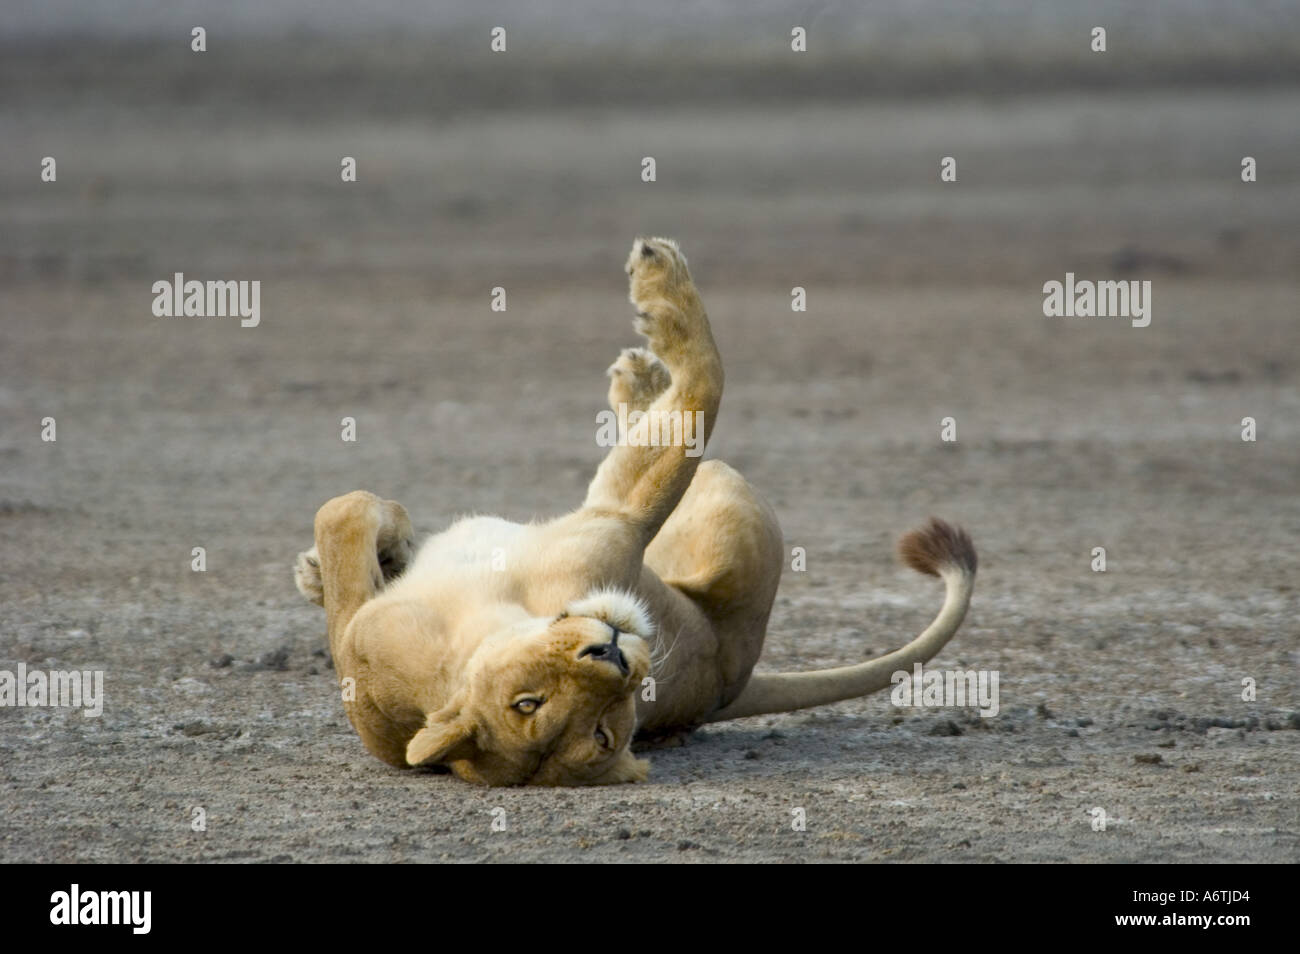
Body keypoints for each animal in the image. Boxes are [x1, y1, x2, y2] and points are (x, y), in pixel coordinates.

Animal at [294, 237, 977, 786]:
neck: (488, 620)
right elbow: (701, 393)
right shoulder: (617, 521)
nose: (615, 656)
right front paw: (660, 281)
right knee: (684, 439)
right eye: (530, 704)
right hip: (732, 507)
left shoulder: (610, 524)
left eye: (603, 724)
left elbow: (344, 516)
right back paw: (640, 378)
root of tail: (732, 682)